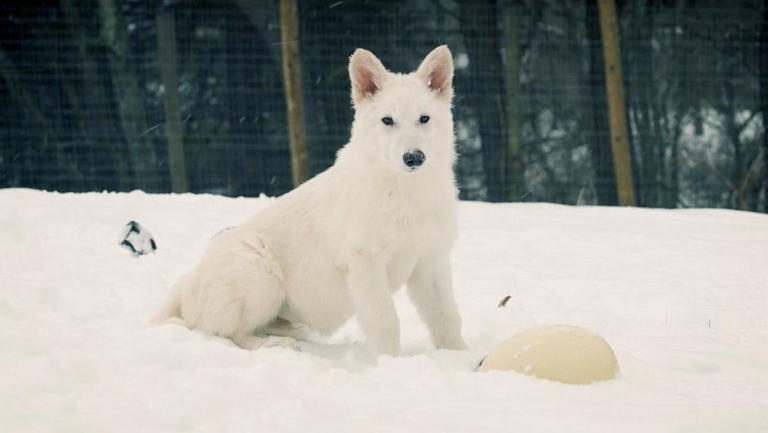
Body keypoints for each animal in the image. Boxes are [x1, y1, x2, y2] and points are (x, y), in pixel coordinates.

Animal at [152, 45, 467, 356]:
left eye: (424, 118)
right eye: (388, 121)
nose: (413, 157)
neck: (405, 191)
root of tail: (185, 286)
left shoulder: (430, 263)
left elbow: (448, 318)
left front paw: (461, 358)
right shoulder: (365, 264)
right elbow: (385, 321)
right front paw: (389, 363)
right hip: (261, 274)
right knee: (231, 334)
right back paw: (275, 346)